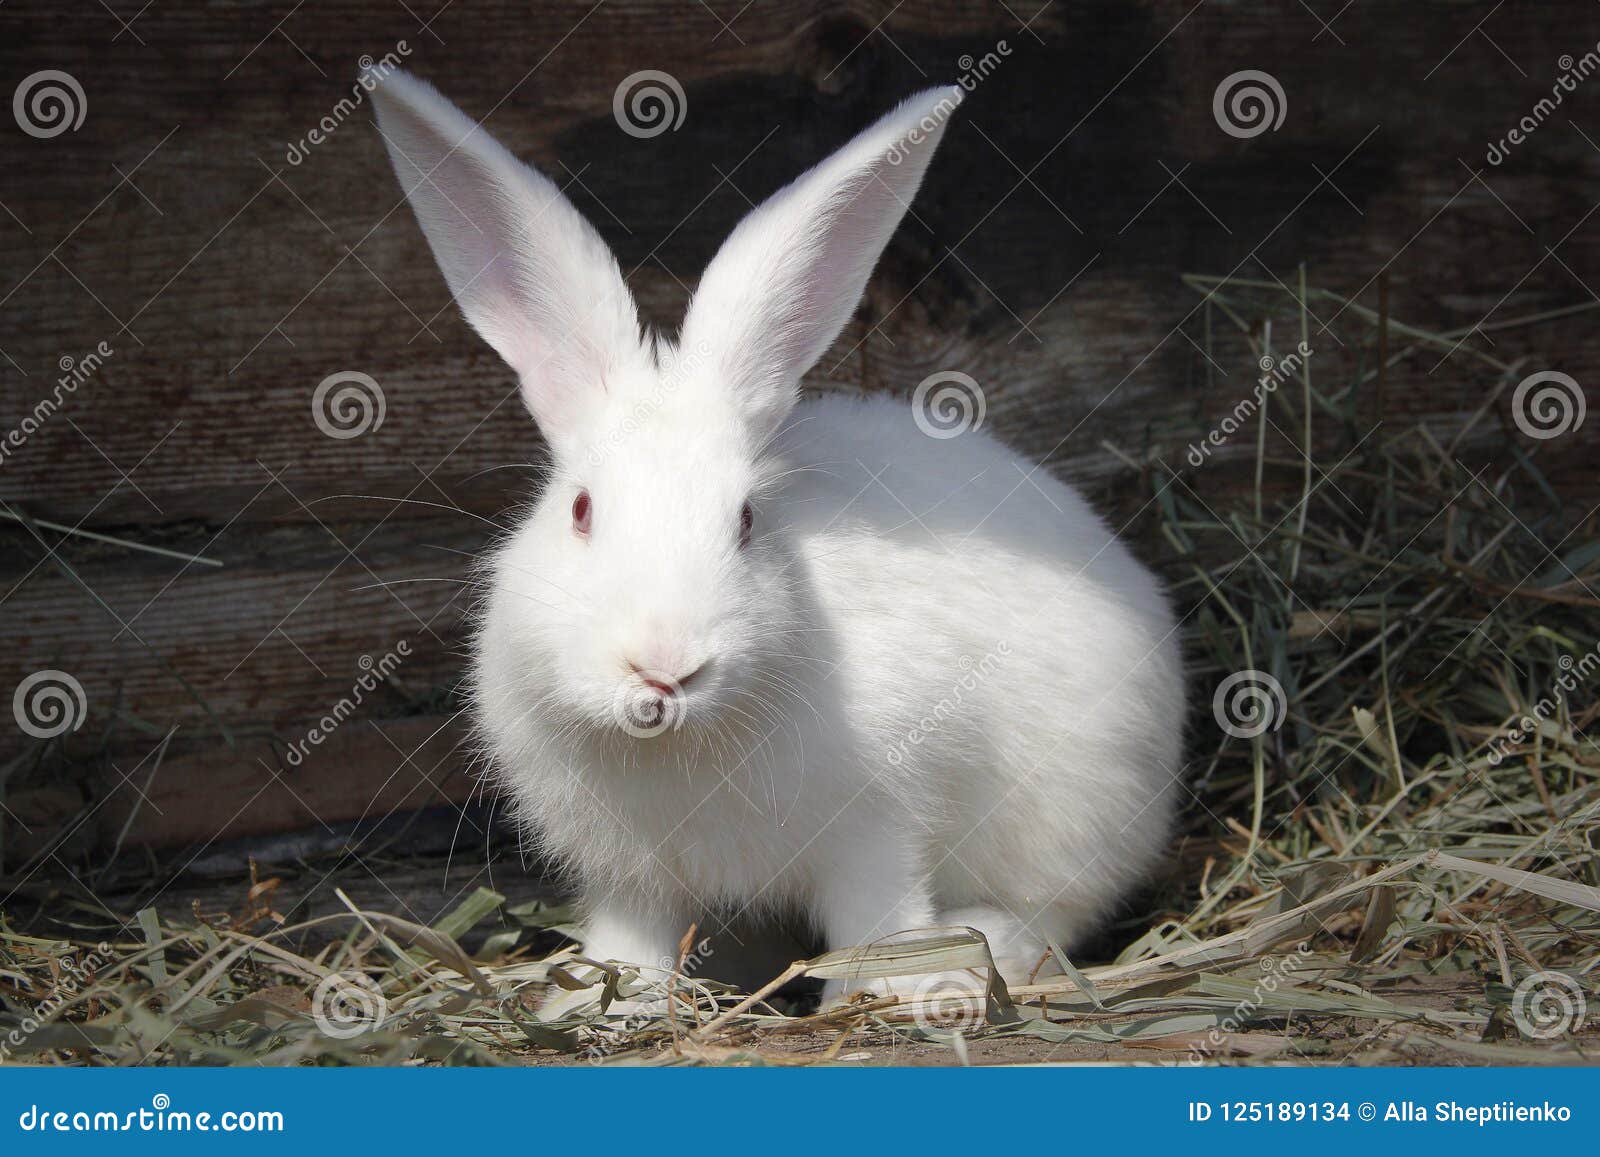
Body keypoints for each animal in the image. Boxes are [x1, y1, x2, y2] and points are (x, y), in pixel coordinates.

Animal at [369, 72, 1185, 1002]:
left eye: (747, 521)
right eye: (580, 509)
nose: (665, 666)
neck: (680, 744)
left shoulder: (876, 829)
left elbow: (879, 920)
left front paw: (896, 989)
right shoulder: (630, 879)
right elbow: (631, 942)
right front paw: (607, 998)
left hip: (1083, 810)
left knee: (1060, 911)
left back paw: (993, 944)